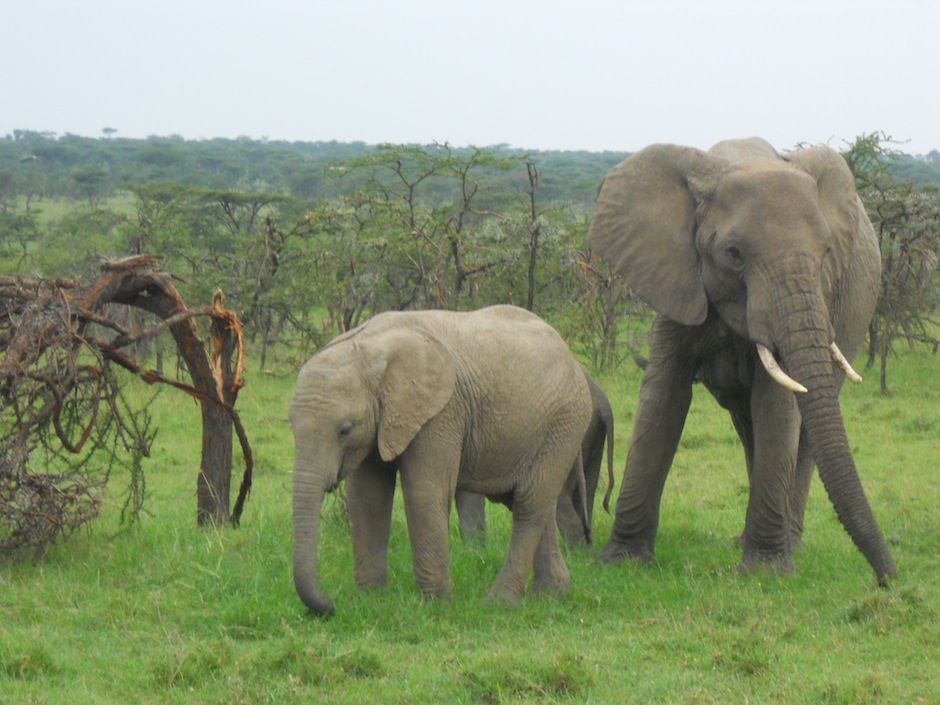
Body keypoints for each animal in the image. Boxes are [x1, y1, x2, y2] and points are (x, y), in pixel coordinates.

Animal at [289, 304, 592, 615]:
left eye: (345, 430)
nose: (330, 605)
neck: (368, 345)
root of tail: (570, 357)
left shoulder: (441, 413)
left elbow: (424, 492)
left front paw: (437, 605)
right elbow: (368, 497)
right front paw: (371, 598)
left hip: (565, 423)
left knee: (528, 506)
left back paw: (498, 603)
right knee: (536, 503)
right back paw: (550, 597)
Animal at [586, 137, 896, 585]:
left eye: (826, 252)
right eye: (733, 254)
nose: (888, 579)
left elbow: (778, 405)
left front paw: (765, 572)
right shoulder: (675, 276)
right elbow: (663, 398)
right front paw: (623, 562)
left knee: (803, 434)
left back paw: (789, 544)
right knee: (750, 427)